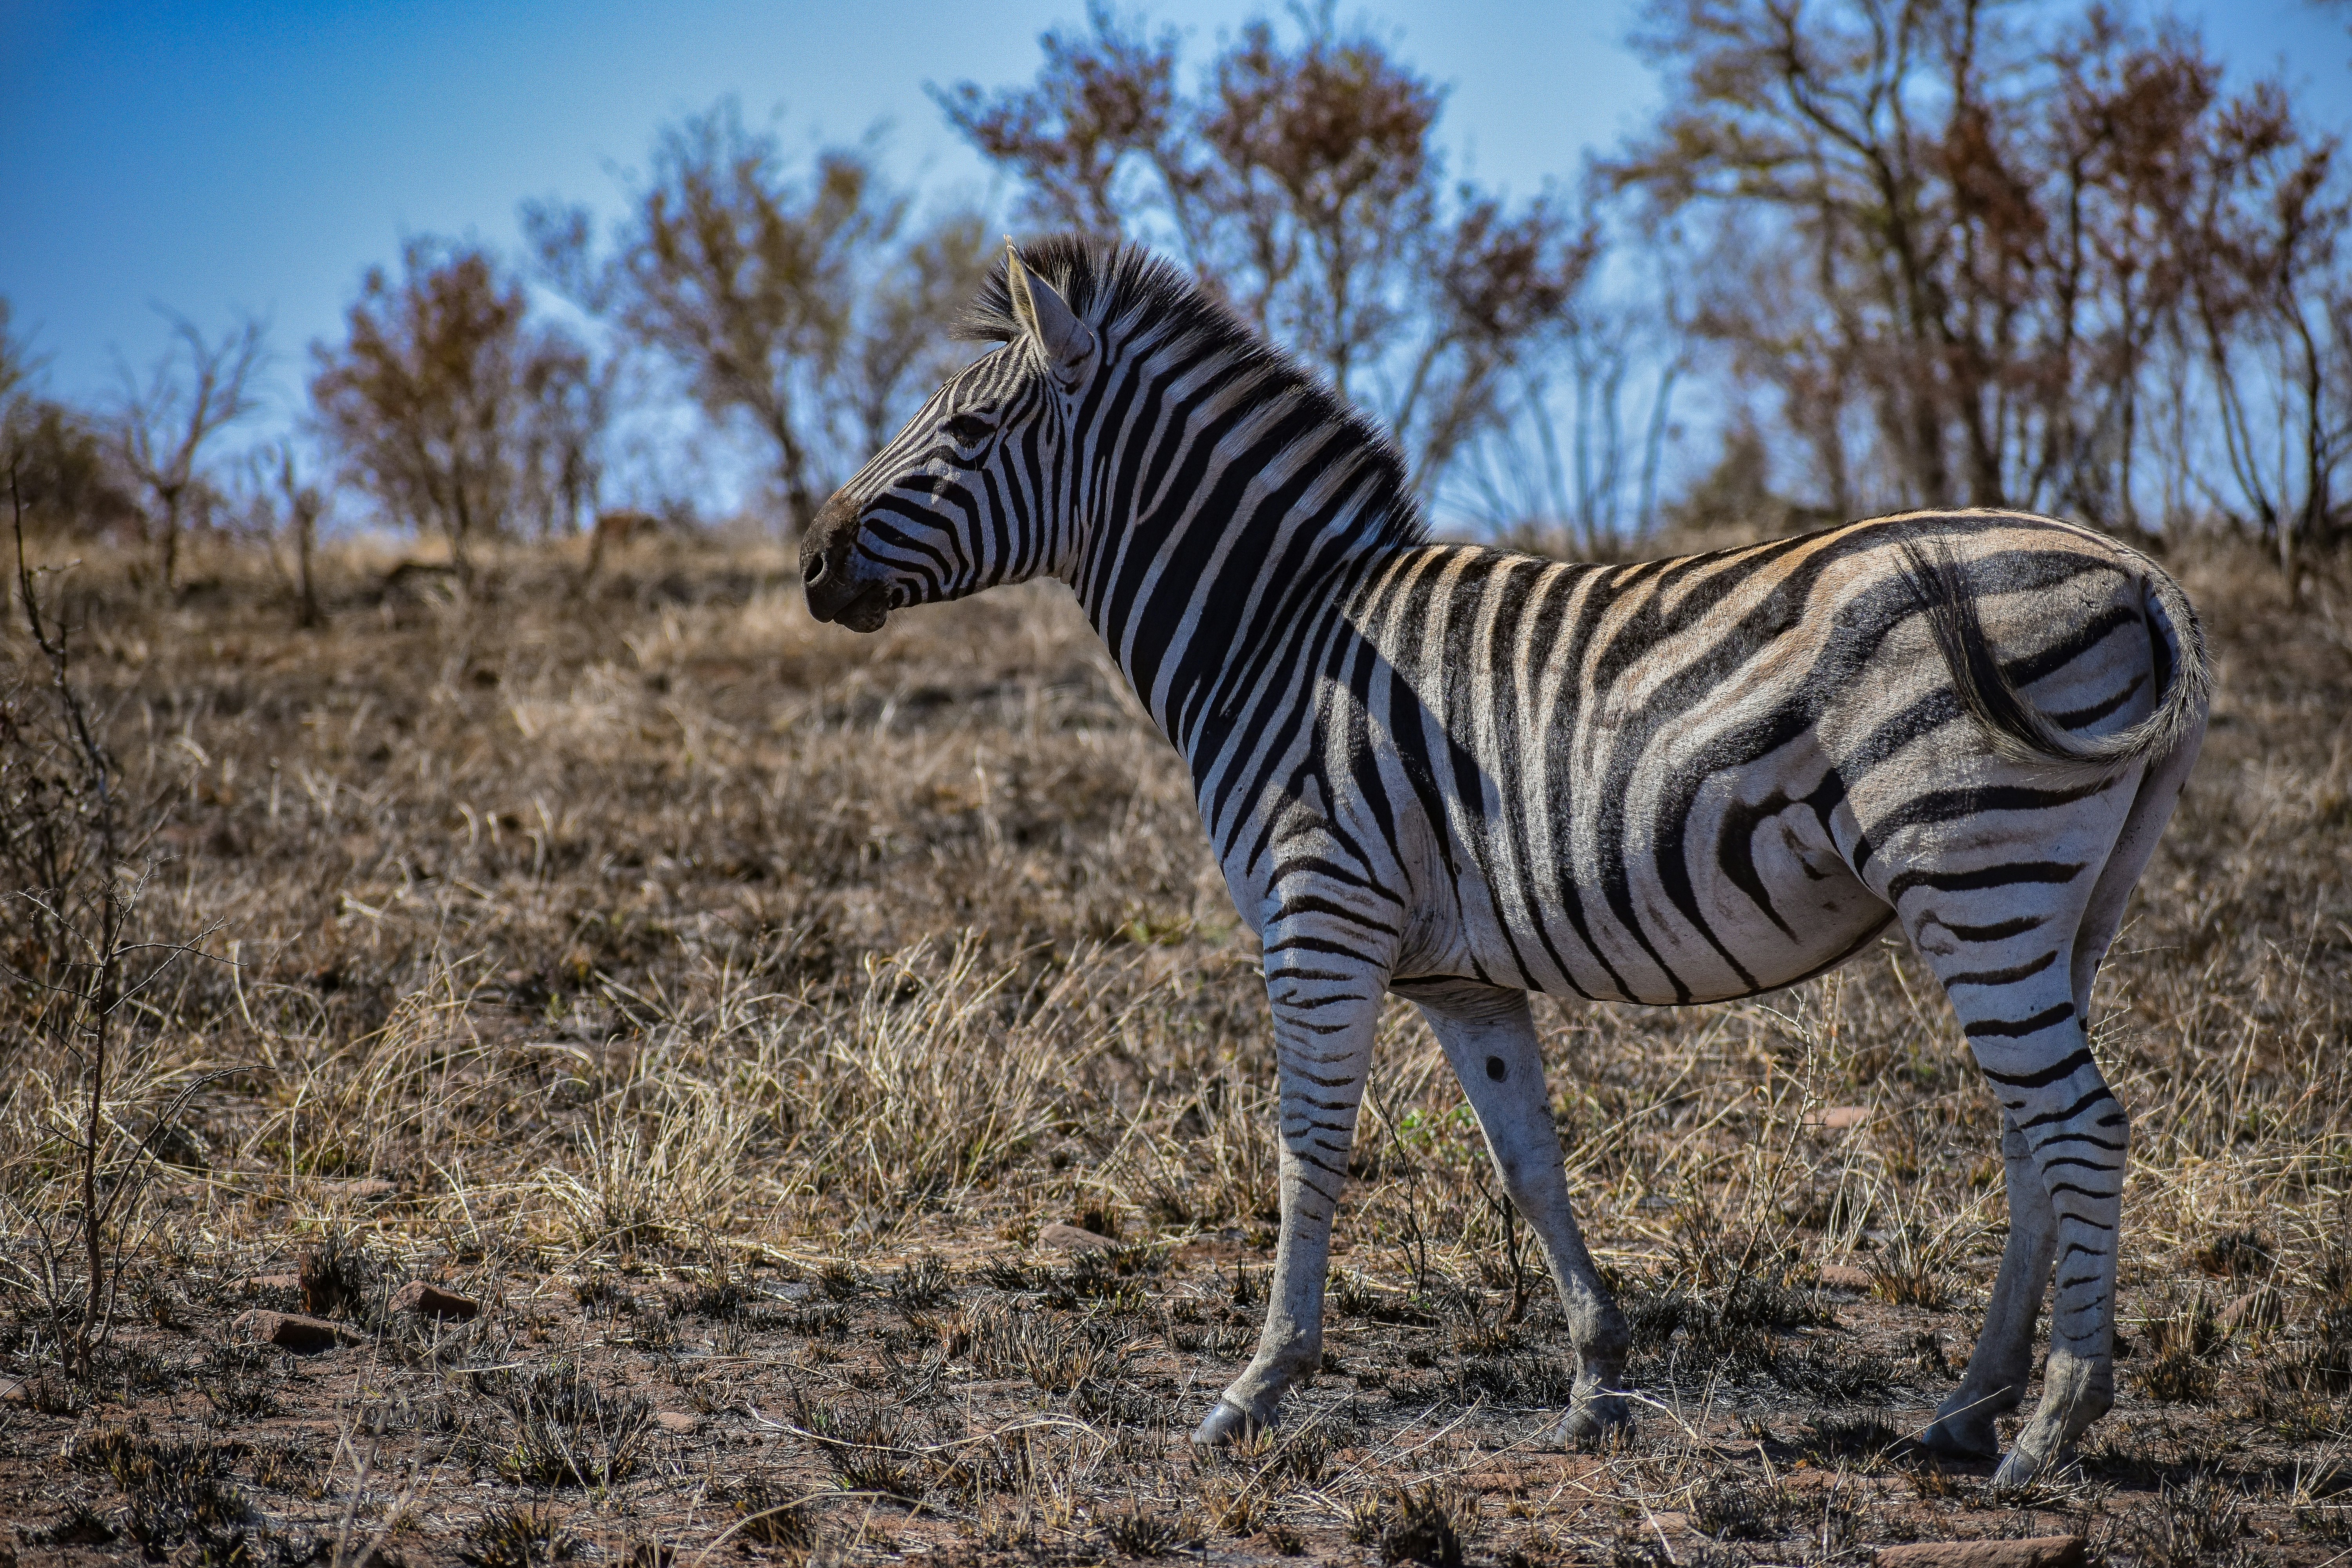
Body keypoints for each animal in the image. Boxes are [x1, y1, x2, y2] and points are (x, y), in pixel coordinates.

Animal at [800, 235, 2210, 1488]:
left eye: (968, 436)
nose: (812, 564)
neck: (1276, 637)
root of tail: (2135, 567)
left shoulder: (1321, 917)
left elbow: (1307, 1146)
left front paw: (1258, 1387)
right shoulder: (1459, 974)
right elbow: (1528, 1160)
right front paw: (1596, 1388)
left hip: (1976, 869)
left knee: (2080, 1122)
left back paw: (2049, 1430)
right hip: (2059, 903)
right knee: (2032, 1134)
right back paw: (1968, 1413)